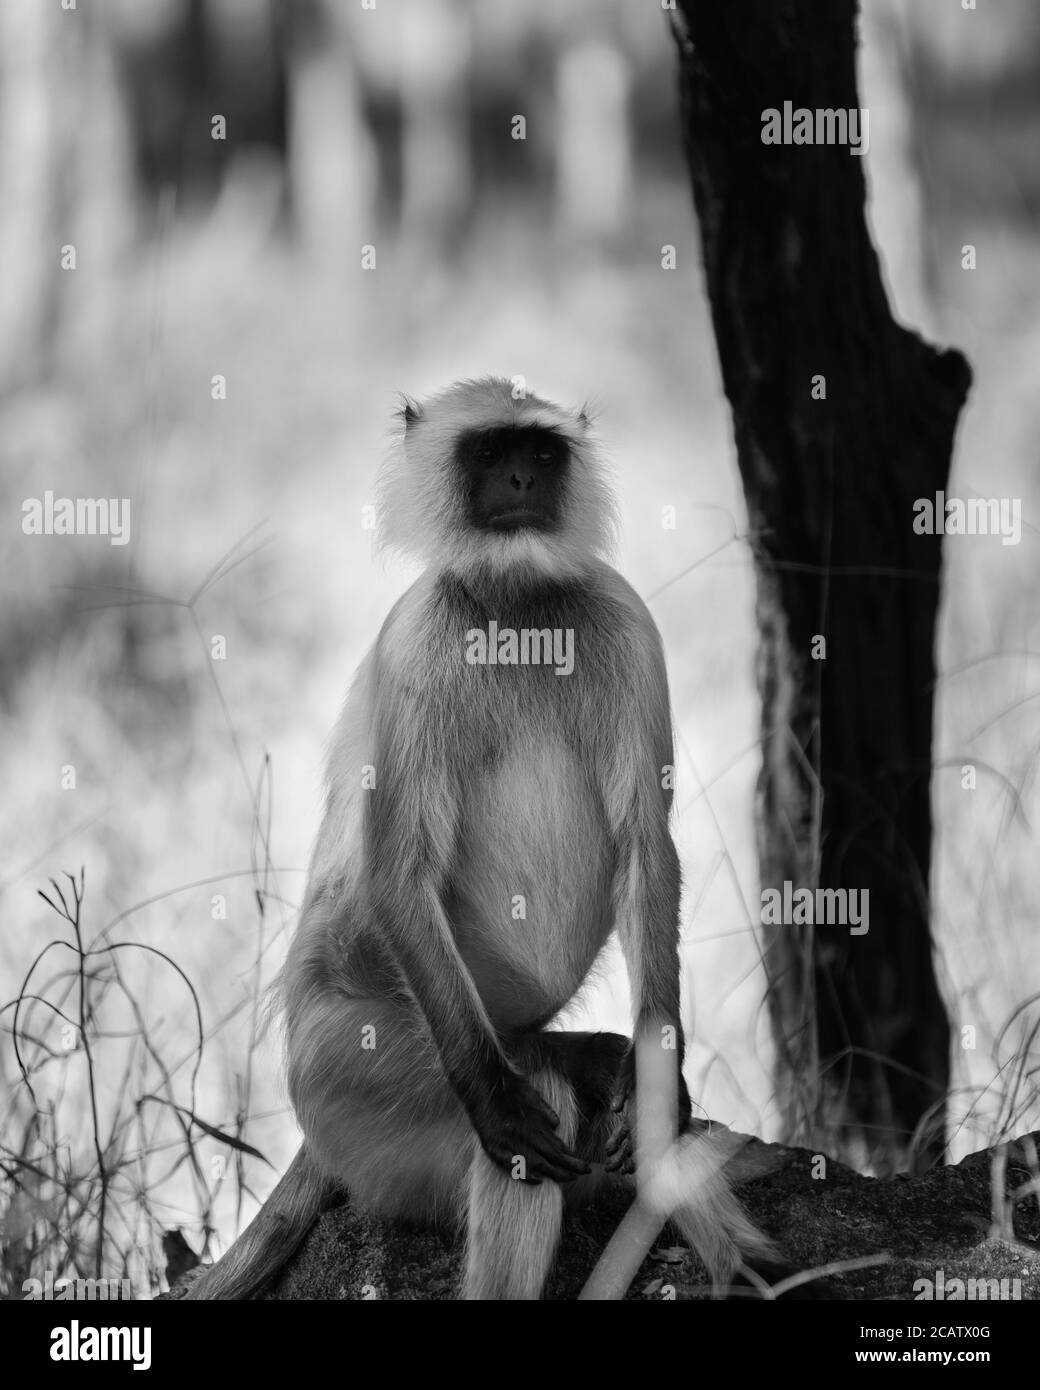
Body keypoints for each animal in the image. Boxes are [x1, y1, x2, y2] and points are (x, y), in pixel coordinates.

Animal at [185, 376, 774, 1301]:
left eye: (540, 452)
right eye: (491, 452)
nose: (523, 484)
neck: (518, 603)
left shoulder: (623, 617)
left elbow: (647, 842)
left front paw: (655, 1079)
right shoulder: (415, 637)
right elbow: (399, 871)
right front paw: (503, 1100)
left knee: (608, 1100)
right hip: (351, 1074)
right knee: (533, 1105)